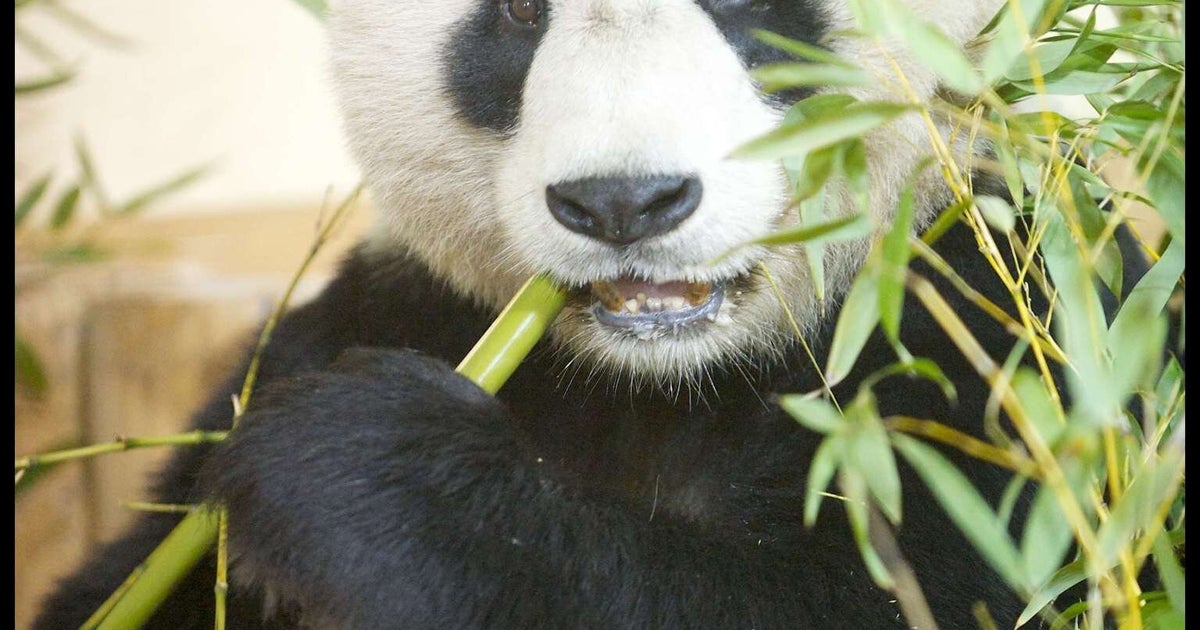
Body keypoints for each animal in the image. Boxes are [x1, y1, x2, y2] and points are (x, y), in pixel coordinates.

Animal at [34, 0, 1147, 628]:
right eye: (522, 7)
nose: (625, 201)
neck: (660, 378)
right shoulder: (394, 304)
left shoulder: (997, 349)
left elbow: (873, 594)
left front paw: (370, 473)